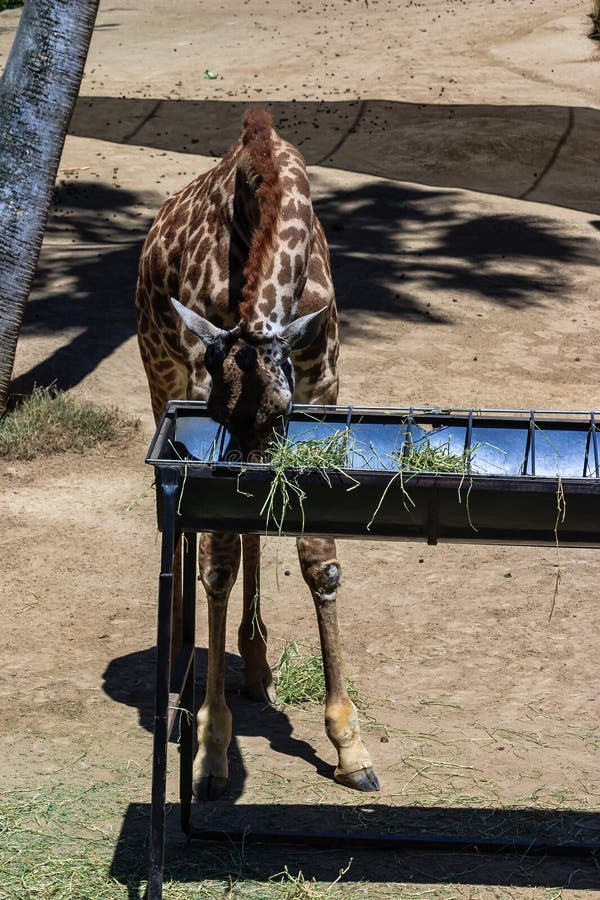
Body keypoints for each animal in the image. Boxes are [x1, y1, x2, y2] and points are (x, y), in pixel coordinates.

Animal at [136, 107, 379, 799]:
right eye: (220, 415)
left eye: (280, 415)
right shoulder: (199, 394)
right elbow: (214, 561)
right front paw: (212, 749)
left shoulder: (321, 386)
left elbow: (318, 558)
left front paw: (350, 747)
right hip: (158, 375)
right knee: (190, 534)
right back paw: (180, 668)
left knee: (247, 532)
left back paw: (258, 665)